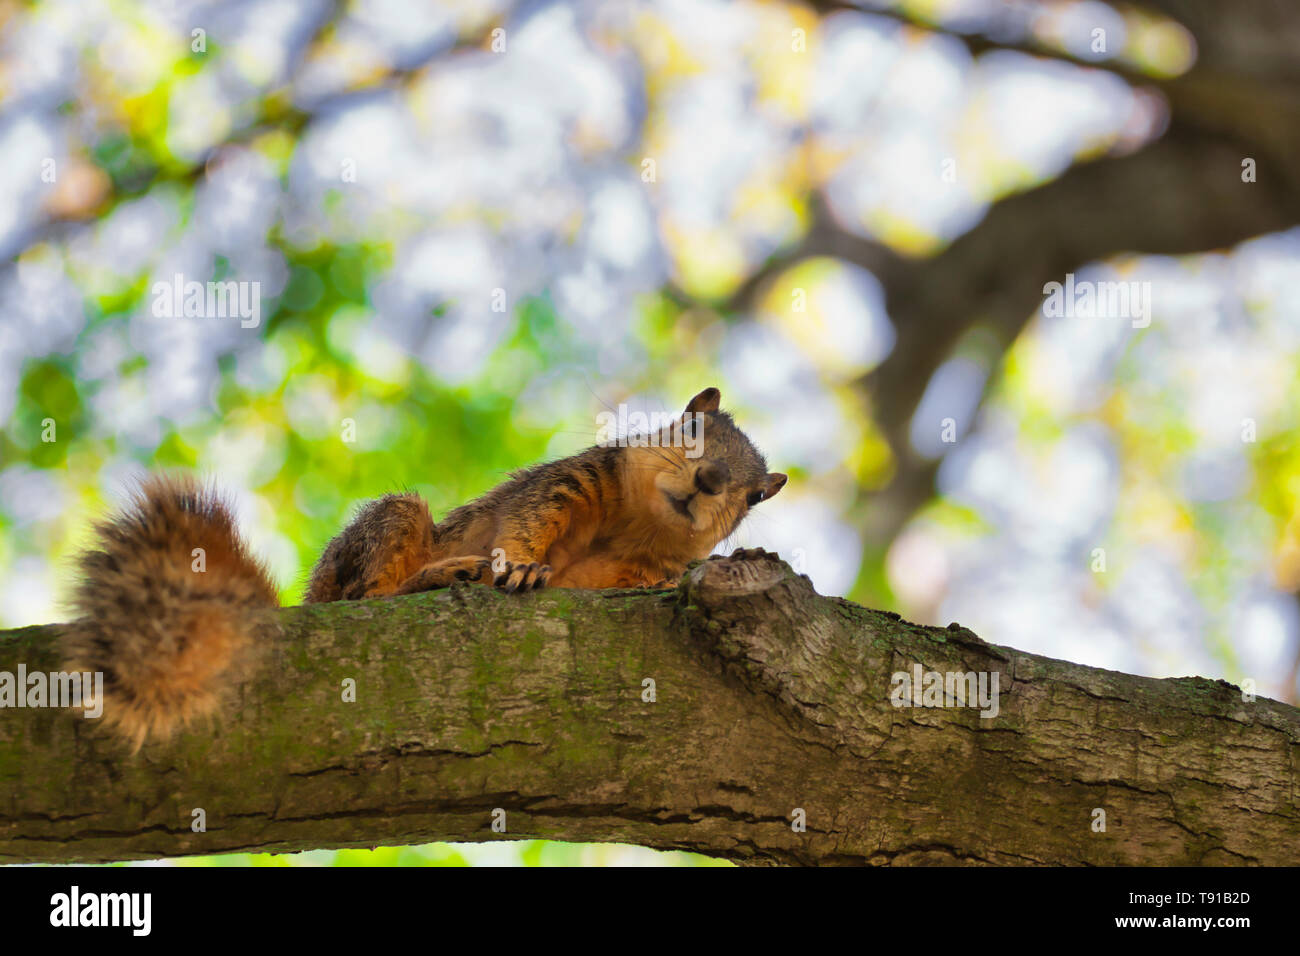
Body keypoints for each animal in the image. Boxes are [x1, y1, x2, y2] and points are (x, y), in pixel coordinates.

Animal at [59, 387, 787, 748]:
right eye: (689, 429)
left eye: (753, 496)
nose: (711, 479)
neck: (637, 523)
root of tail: (309, 597)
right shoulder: (567, 482)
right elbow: (529, 524)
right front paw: (521, 566)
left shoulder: (631, 566)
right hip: (393, 527)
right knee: (368, 598)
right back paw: (445, 574)